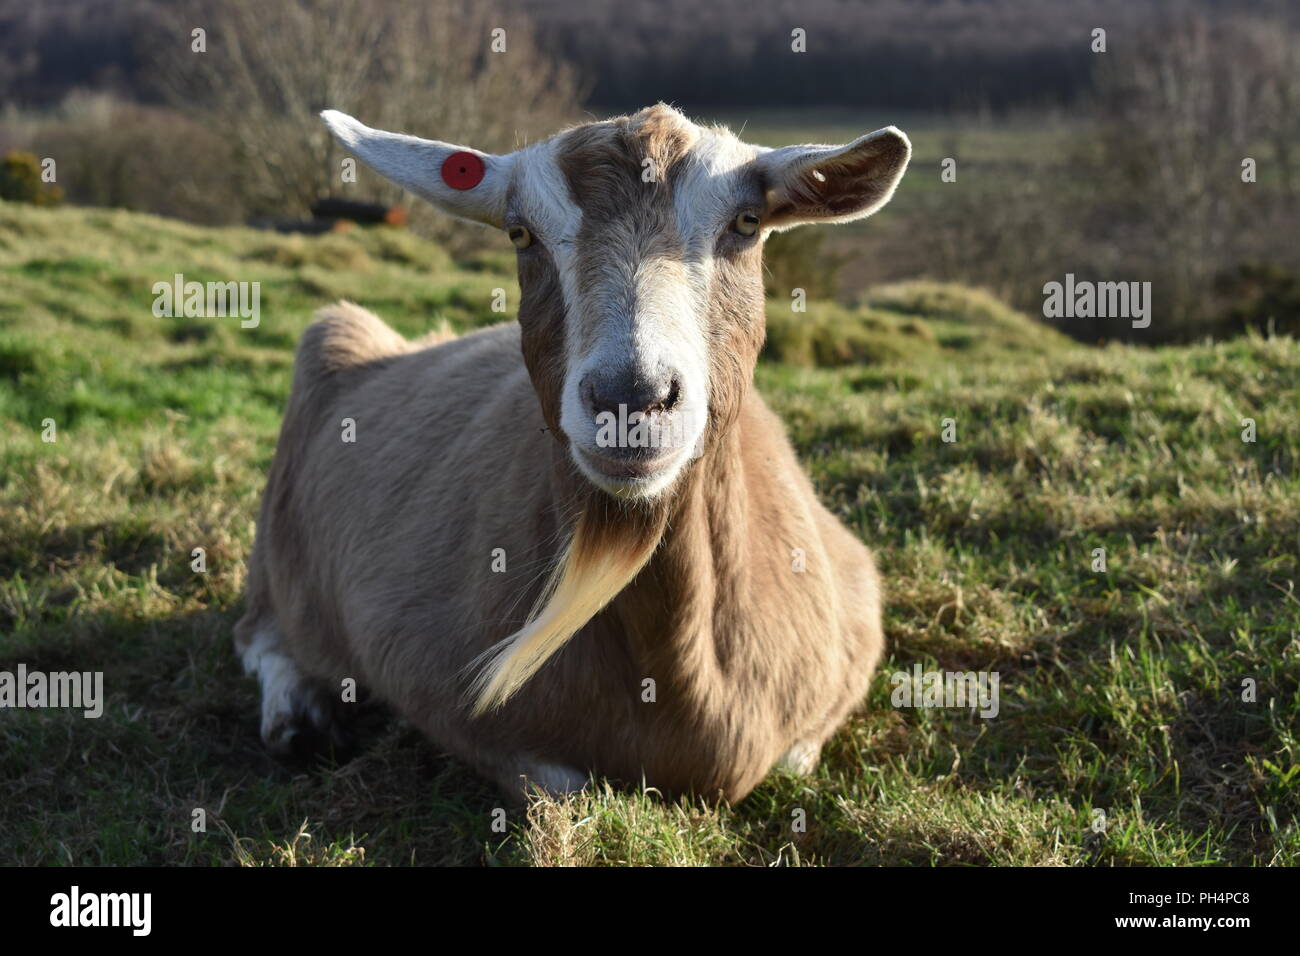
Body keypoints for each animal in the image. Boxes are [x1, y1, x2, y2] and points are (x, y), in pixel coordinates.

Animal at [234, 104, 910, 801]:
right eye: (520, 233)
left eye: (746, 223)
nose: (631, 399)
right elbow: (561, 783)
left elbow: (794, 755)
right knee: (261, 633)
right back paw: (298, 720)